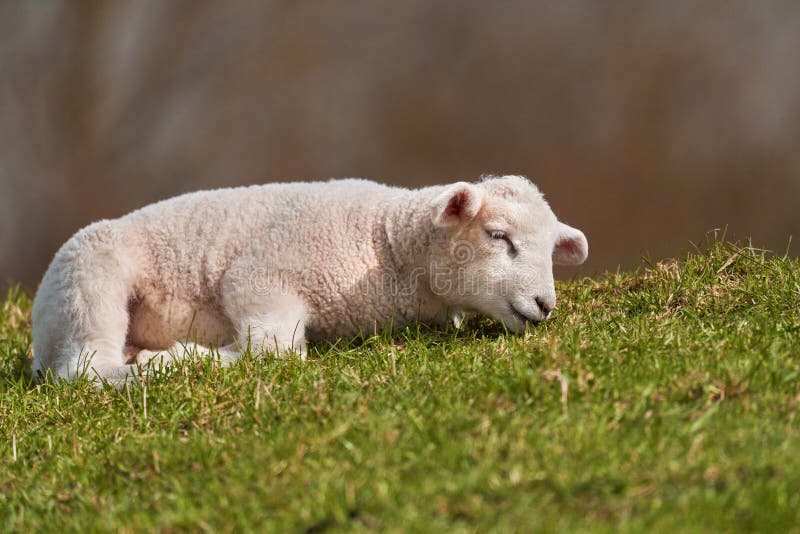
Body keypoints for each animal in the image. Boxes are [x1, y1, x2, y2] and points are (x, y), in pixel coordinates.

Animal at [31, 175, 588, 385]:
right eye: (498, 236)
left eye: (548, 252)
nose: (545, 304)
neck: (386, 242)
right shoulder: (262, 276)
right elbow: (273, 354)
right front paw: (181, 360)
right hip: (91, 278)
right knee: (83, 366)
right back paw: (142, 369)